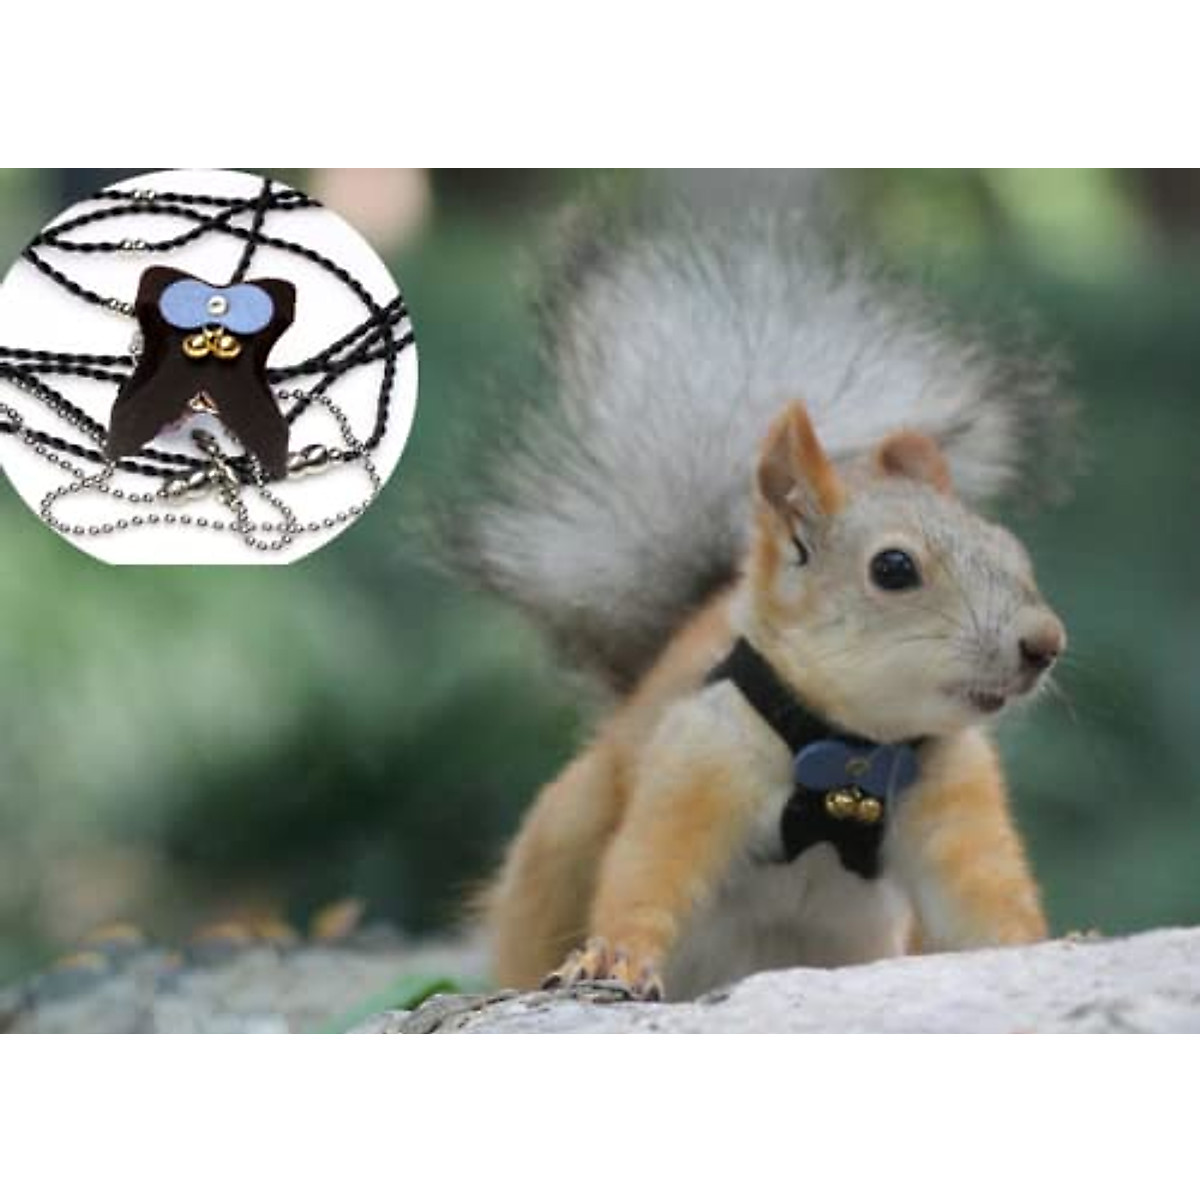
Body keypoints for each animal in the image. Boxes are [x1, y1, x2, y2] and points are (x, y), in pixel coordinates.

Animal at [449, 187, 1075, 1002]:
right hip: (561, 836)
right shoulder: (699, 758)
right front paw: (617, 956)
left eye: (1012, 551)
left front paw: (1058, 944)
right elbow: (649, 868)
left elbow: (987, 904)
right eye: (894, 569)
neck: (851, 752)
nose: (1044, 645)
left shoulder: (954, 796)